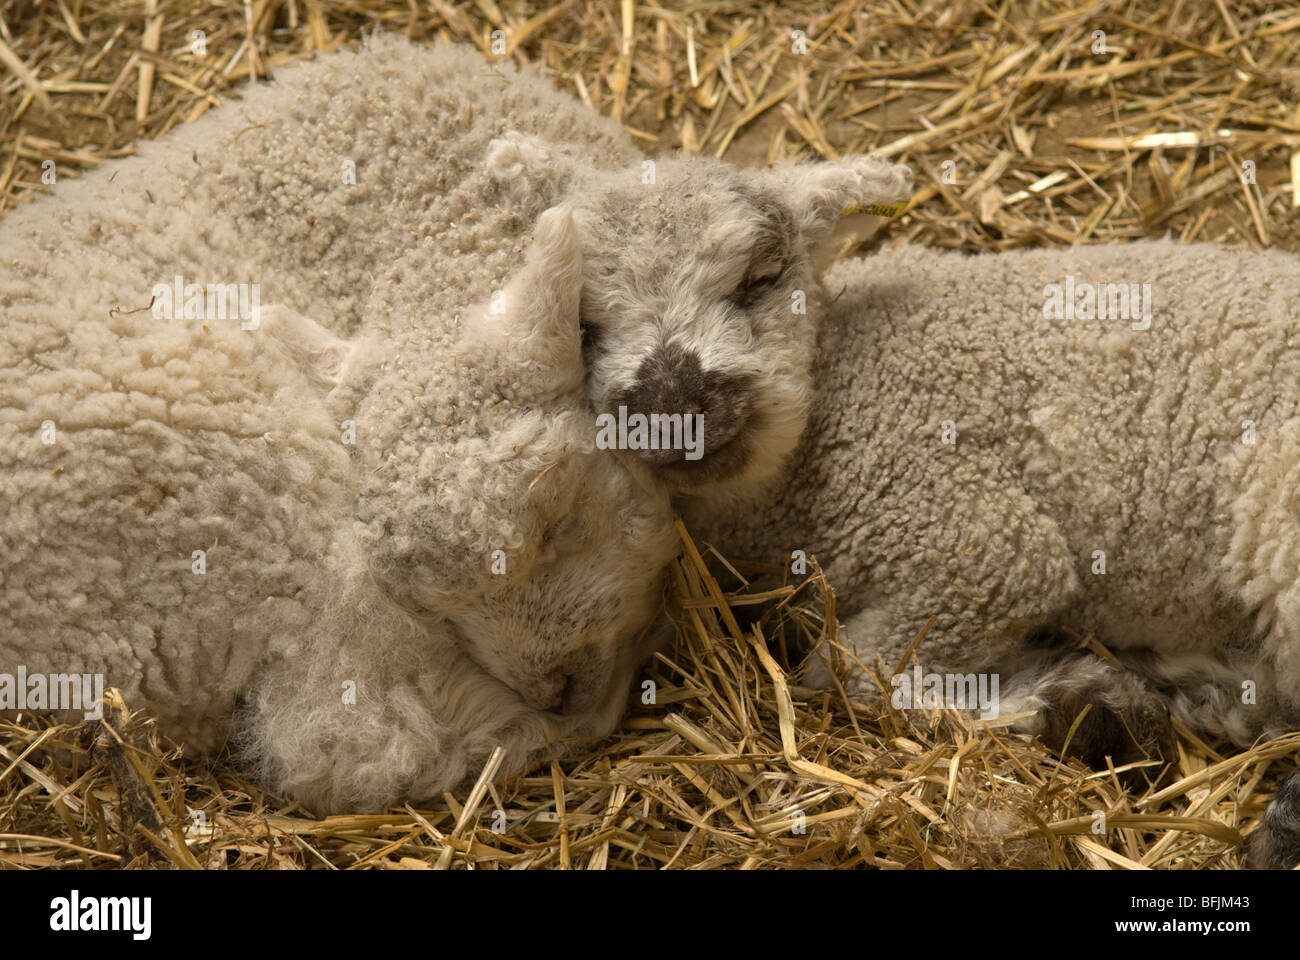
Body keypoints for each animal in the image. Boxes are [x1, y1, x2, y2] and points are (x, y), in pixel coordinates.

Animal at [689, 238, 1300, 867]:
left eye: (751, 278)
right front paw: (1098, 708)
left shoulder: (981, 551)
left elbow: (861, 675)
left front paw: (1077, 708)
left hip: (1279, 508)